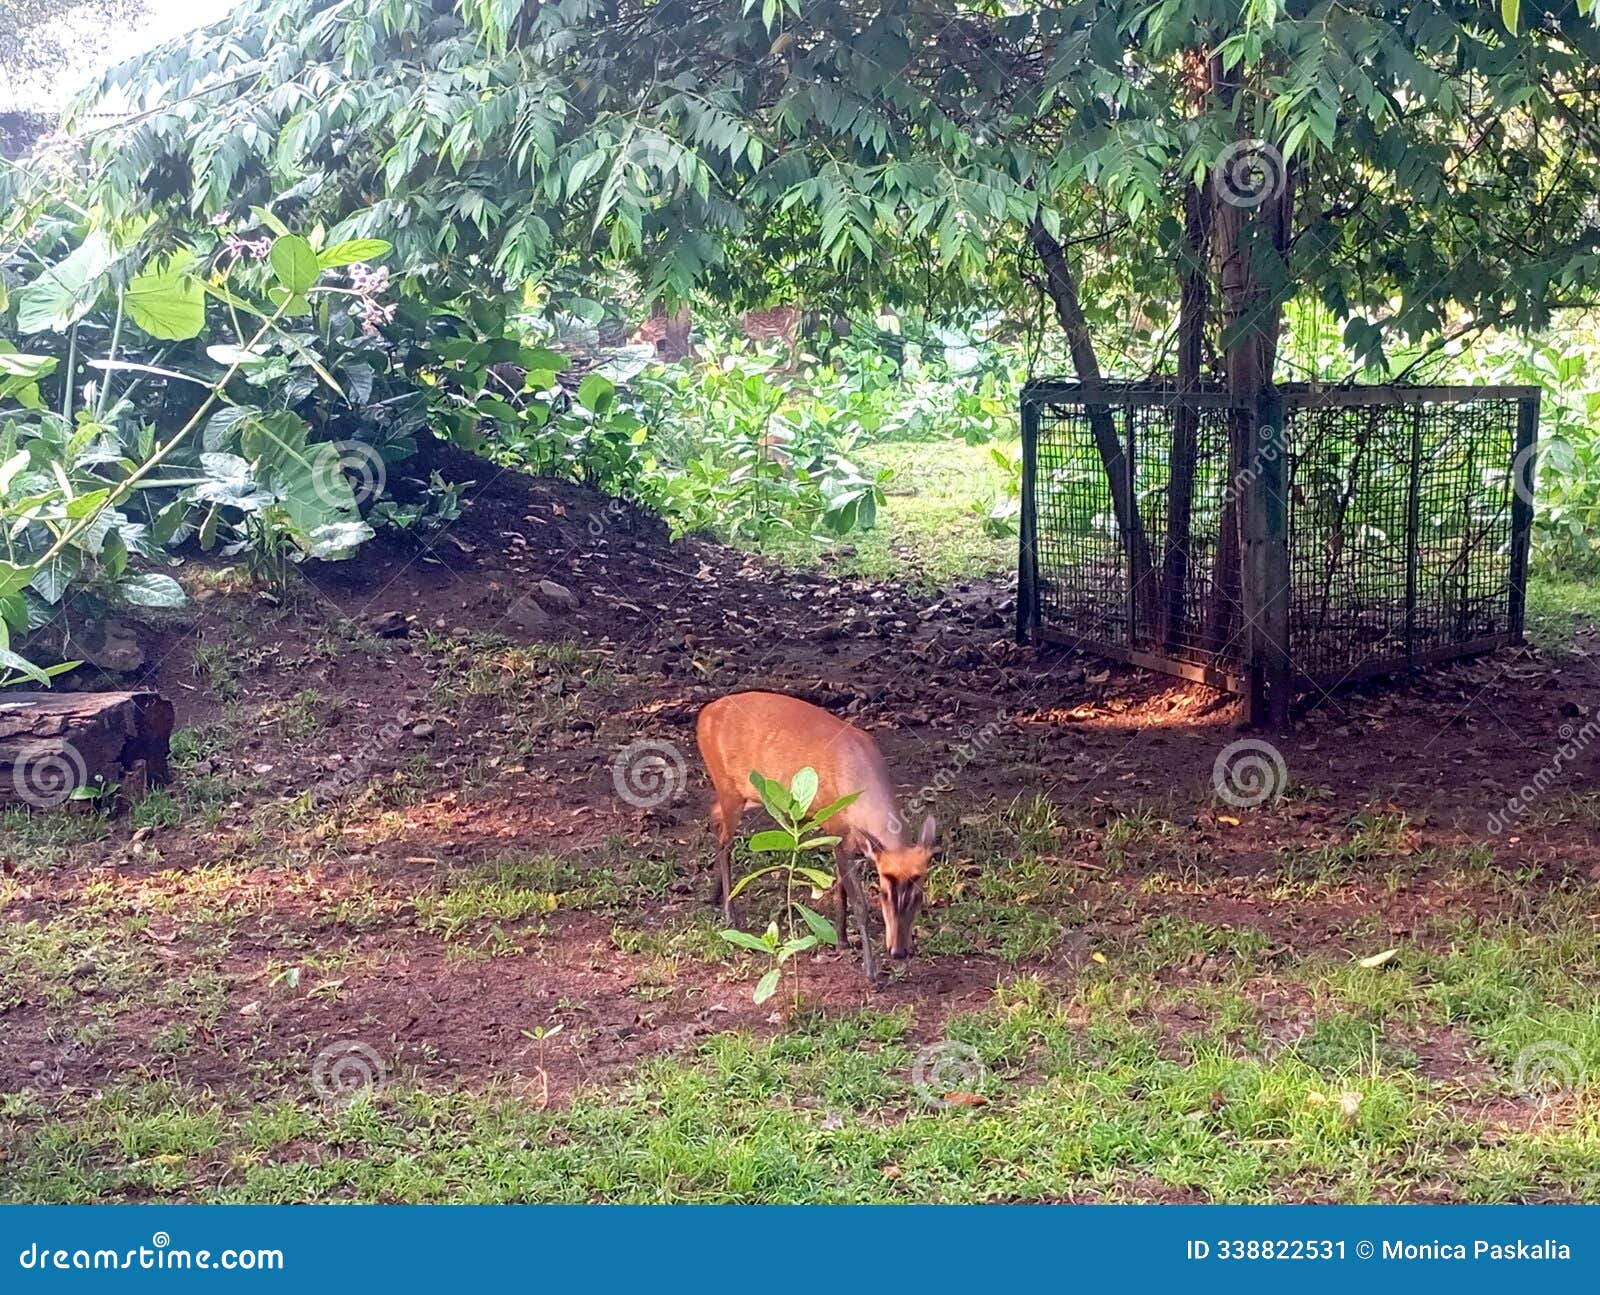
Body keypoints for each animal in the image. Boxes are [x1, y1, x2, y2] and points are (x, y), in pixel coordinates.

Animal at [695, 690, 937, 984]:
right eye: (883, 892)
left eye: (919, 894)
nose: (899, 951)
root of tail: (705, 712)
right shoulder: (837, 830)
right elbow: (858, 903)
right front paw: (870, 972)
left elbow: (841, 889)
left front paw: (842, 939)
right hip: (728, 785)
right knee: (726, 842)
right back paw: (730, 914)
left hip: (748, 794)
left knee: (714, 816)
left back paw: (715, 895)